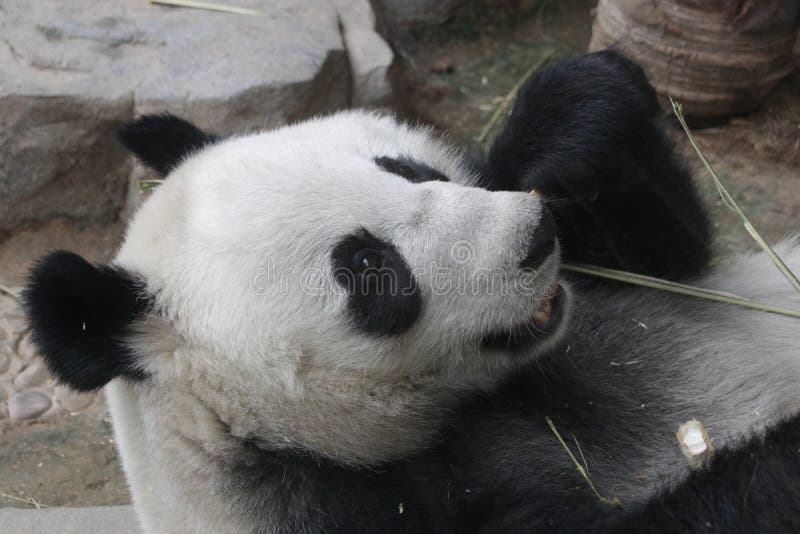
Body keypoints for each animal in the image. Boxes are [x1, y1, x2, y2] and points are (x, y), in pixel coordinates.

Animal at [22, 50, 800, 533]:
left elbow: (673, 256)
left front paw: (570, 122)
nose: (534, 235)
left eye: (406, 167)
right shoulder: (368, 509)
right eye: (371, 269)